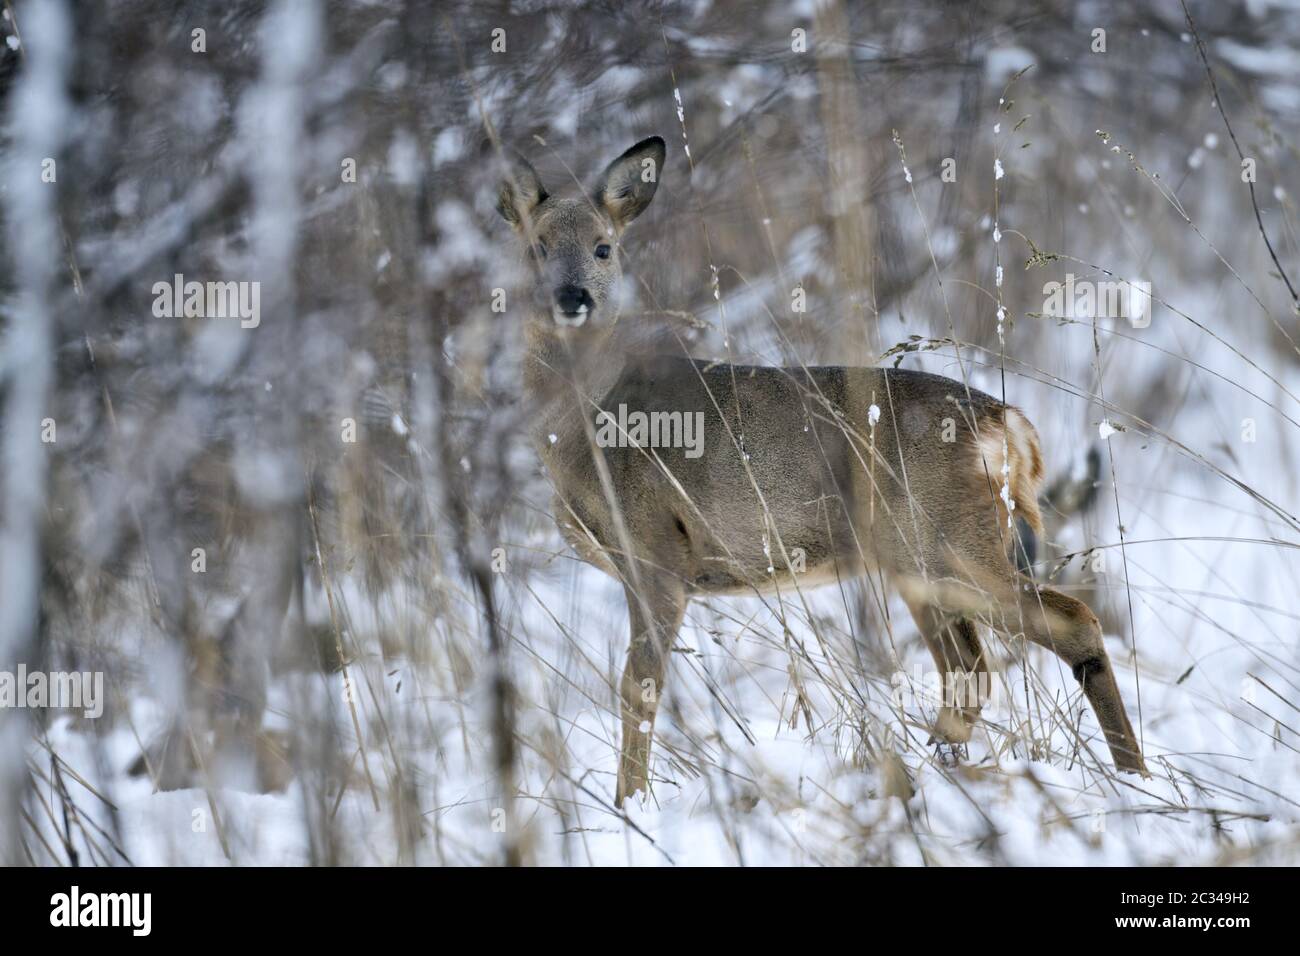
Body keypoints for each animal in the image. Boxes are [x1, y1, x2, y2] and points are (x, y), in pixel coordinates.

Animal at [496, 135, 1147, 807]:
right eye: (536, 246)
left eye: (604, 246)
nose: (572, 299)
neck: (587, 424)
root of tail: (1010, 426)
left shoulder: (656, 550)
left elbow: (638, 686)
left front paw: (631, 804)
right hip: (916, 559)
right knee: (969, 672)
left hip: (949, 541)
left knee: (1066, 625)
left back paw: (1131, 780)